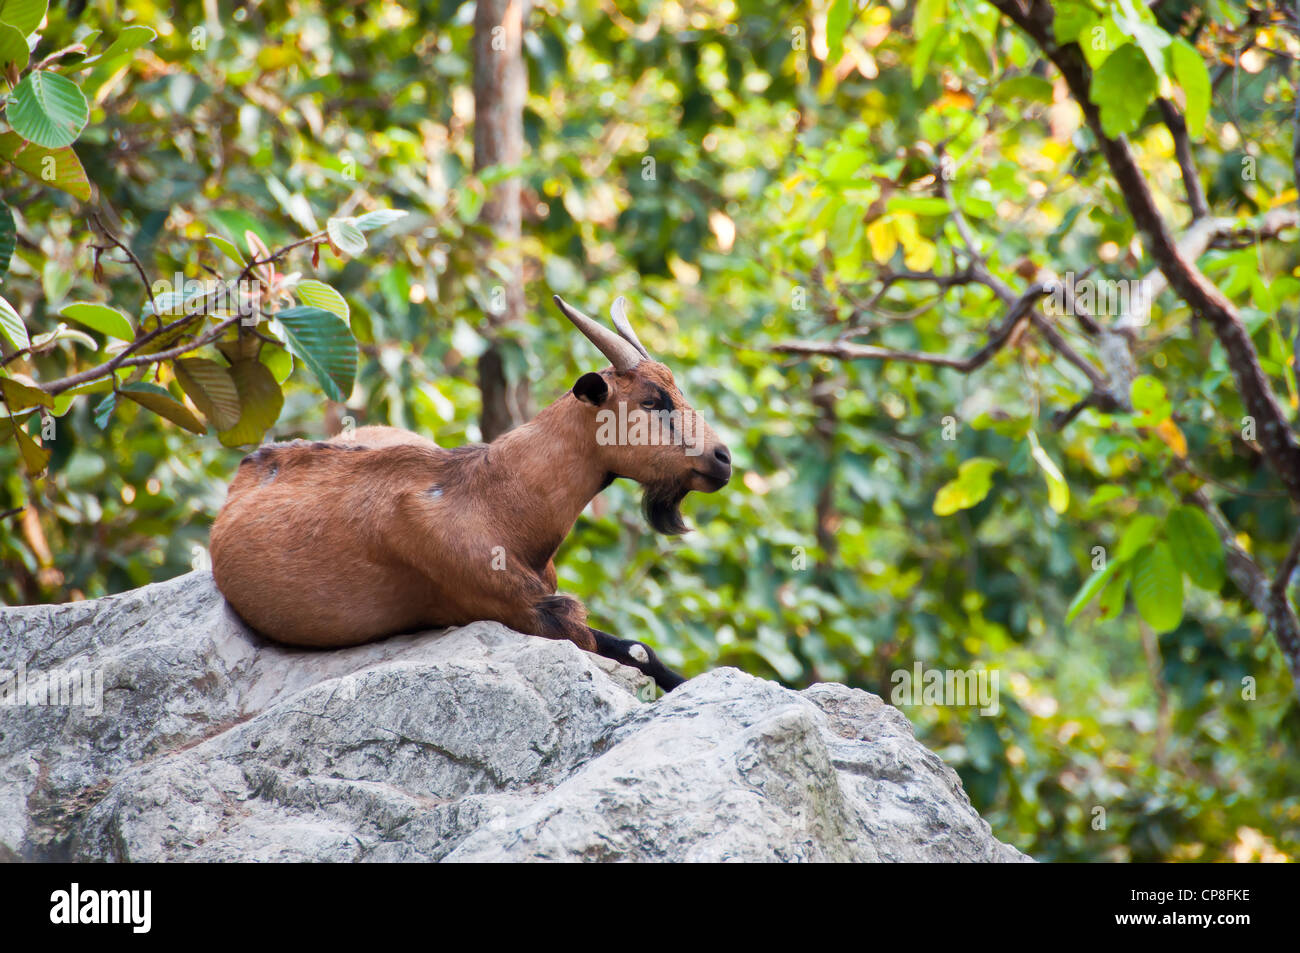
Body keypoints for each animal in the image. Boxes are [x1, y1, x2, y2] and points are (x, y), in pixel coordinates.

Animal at [209, 295, 732, 690]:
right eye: (651, 401)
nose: (723, 458)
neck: (495, 500)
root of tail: (249, 464)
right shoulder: (521, 611)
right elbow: (632, 649)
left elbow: (641, 650)